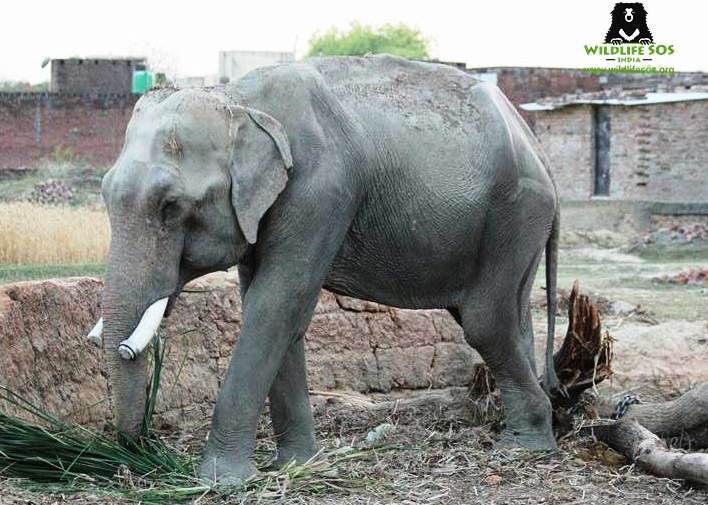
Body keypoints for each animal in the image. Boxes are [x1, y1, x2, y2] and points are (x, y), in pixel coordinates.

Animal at [90, 54, 560, 485]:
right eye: (104, 193)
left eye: (170, 206)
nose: (140, 450)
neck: (237, 99)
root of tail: (534, 141)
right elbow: (278, 310)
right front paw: (297, 465)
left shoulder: (321, 189)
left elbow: (275, 303)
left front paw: (220, 481)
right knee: (509, 315)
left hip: (515, 213)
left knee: (484, 321)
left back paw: (524, 446)